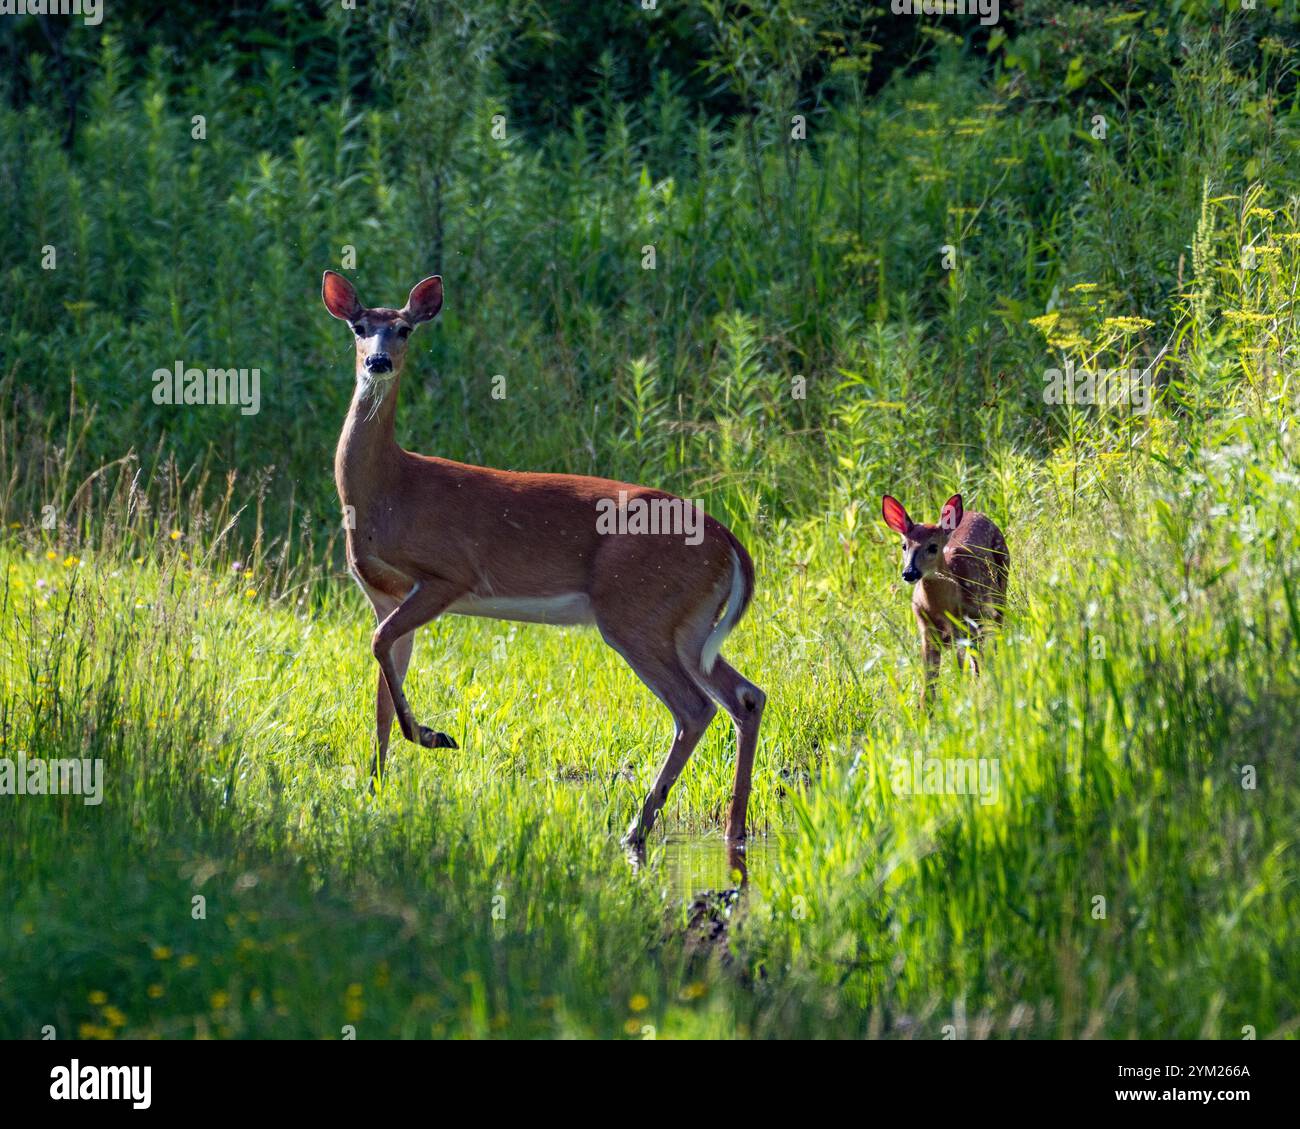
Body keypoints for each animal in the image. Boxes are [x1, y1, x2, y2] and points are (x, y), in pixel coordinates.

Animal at [322, 270, 766, 861]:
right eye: (359, 327)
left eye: (404, 330)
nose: (378, 362)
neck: (387, 492)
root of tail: (730, 542)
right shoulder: (382, 595)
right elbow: (380, 696)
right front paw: (374, 791)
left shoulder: (448, 576)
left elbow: (378, 653)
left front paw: (436, 738)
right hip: (690, 625)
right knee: (746, 696)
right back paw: (732, 829)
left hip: (636, 612)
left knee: (695, 708)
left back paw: (636, 830)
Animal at [881, 493, 1009, 707]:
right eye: (904, 546)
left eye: (933, 547)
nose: (909, 573)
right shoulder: (927, 634)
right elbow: (929, 682)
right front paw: (926, 710)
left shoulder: (968, 625)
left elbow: (968, 668)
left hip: (1002, 579)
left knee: (998, 626)